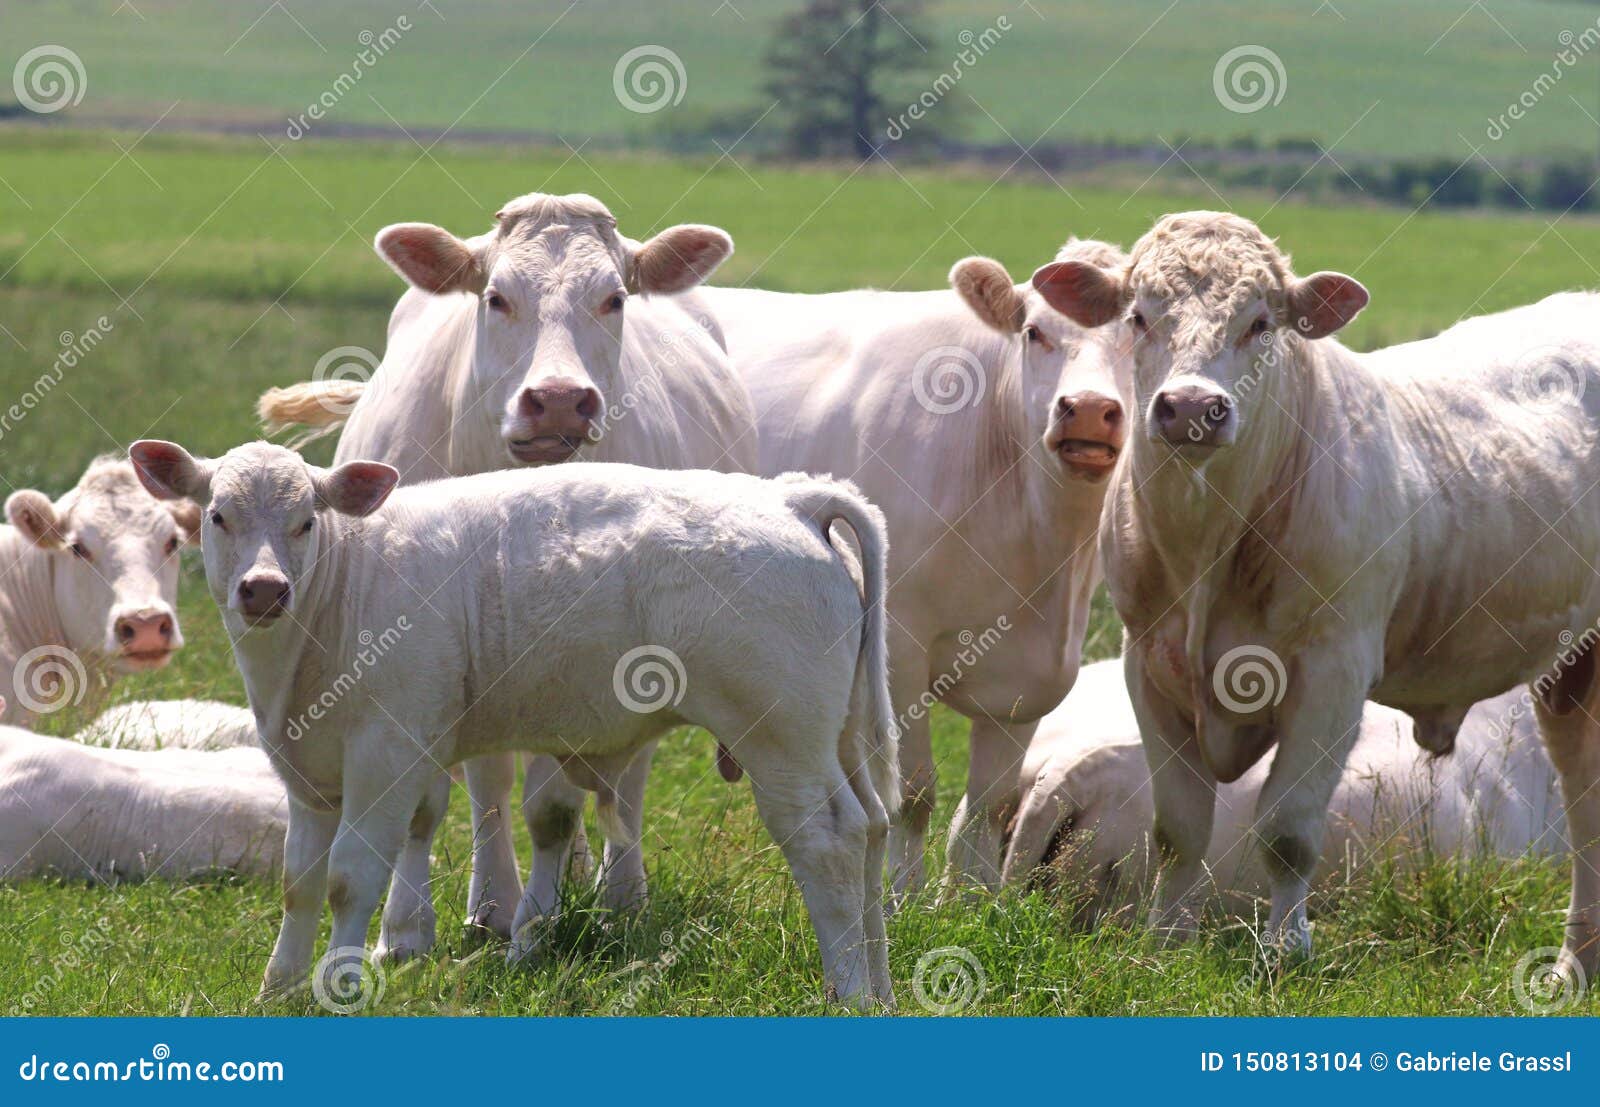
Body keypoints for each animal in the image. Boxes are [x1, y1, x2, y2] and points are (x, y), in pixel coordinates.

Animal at [128, 439, 897, 1007]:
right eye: (218, 515)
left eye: (305, 522)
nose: (263, 589)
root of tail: (791, 497)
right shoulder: (308, 771)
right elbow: (301, 882)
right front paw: (279, 988)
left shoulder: (385, 755)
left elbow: (351, 875)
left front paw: (339, 985)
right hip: (839, 740)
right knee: (872, 828)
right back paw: (880, 988)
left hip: (782, 742)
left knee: (829, 841)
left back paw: (848, 991)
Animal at [256, 192, 757, 955]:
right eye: (495, 297)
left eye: (614, 298)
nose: (558, 398)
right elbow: (439, 799)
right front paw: (418, 928)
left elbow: (554, 801)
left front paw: (538, 924)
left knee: (622, 783)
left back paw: (618, 895)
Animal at [693, 238, 1134, 895]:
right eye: (1034, 332)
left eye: (1144, 330)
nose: (1088, 410)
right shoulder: (898, 644)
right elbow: (914, 792)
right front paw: (904, 895)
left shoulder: (1033, 672)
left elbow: (990, 802)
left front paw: (973, 898)